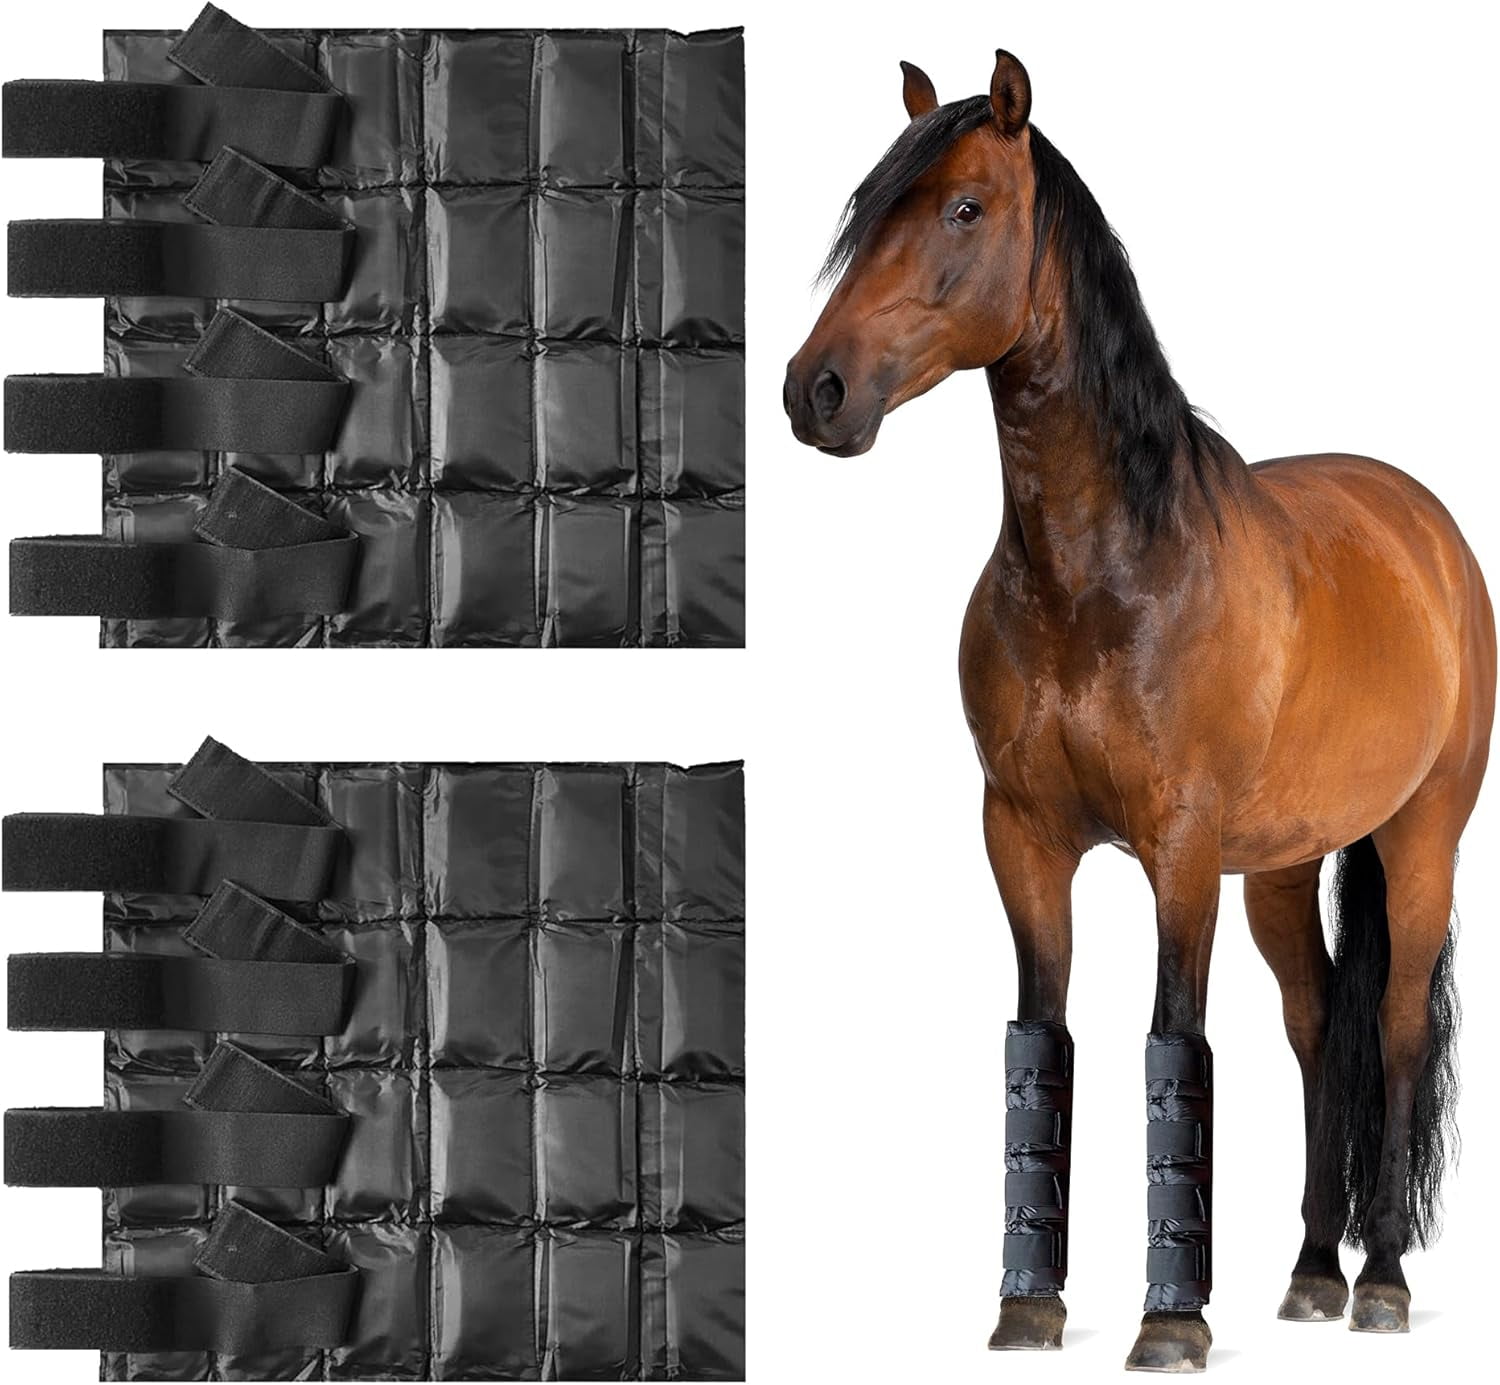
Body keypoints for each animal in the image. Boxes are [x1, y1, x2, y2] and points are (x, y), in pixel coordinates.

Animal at [784, 50, 1495, 1373]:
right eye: (865, 214)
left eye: (965, 209)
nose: (818, 390)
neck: (1105, 571)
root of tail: (1429, 530)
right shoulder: (1021, 835)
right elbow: (1043, 1037)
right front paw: (1029, 1304)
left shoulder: (1180, 848)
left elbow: (1177, 1042)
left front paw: (1172, 1318)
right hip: (1283, 867)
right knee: (1318, 1023)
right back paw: (1309, 1269)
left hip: (1421, 837)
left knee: (1393, 1026)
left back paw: (1378, 1276)